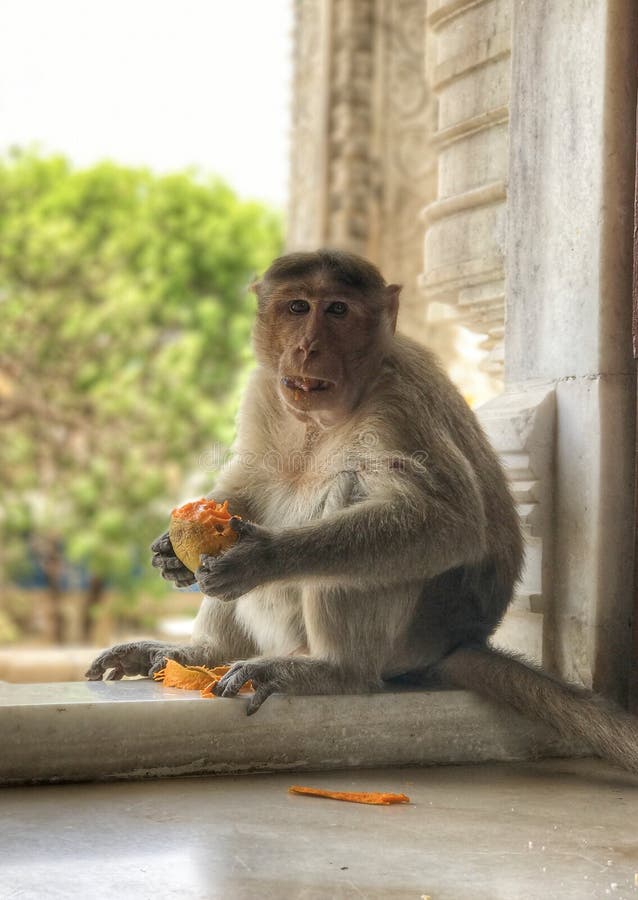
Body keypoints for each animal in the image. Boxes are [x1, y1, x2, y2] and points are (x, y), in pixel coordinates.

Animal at [86, 248, 638, 775]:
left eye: (337, 310)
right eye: (297, 307)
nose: (308, 347)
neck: (324, 417)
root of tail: (459, 642)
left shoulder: (398, 402)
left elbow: (447, 521)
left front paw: (261, 557)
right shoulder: (265, 387)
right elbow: (247, 486)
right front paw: (171, 552)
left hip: (409, 639)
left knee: (353, 494)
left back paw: (332, 670)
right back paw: (202, 654)